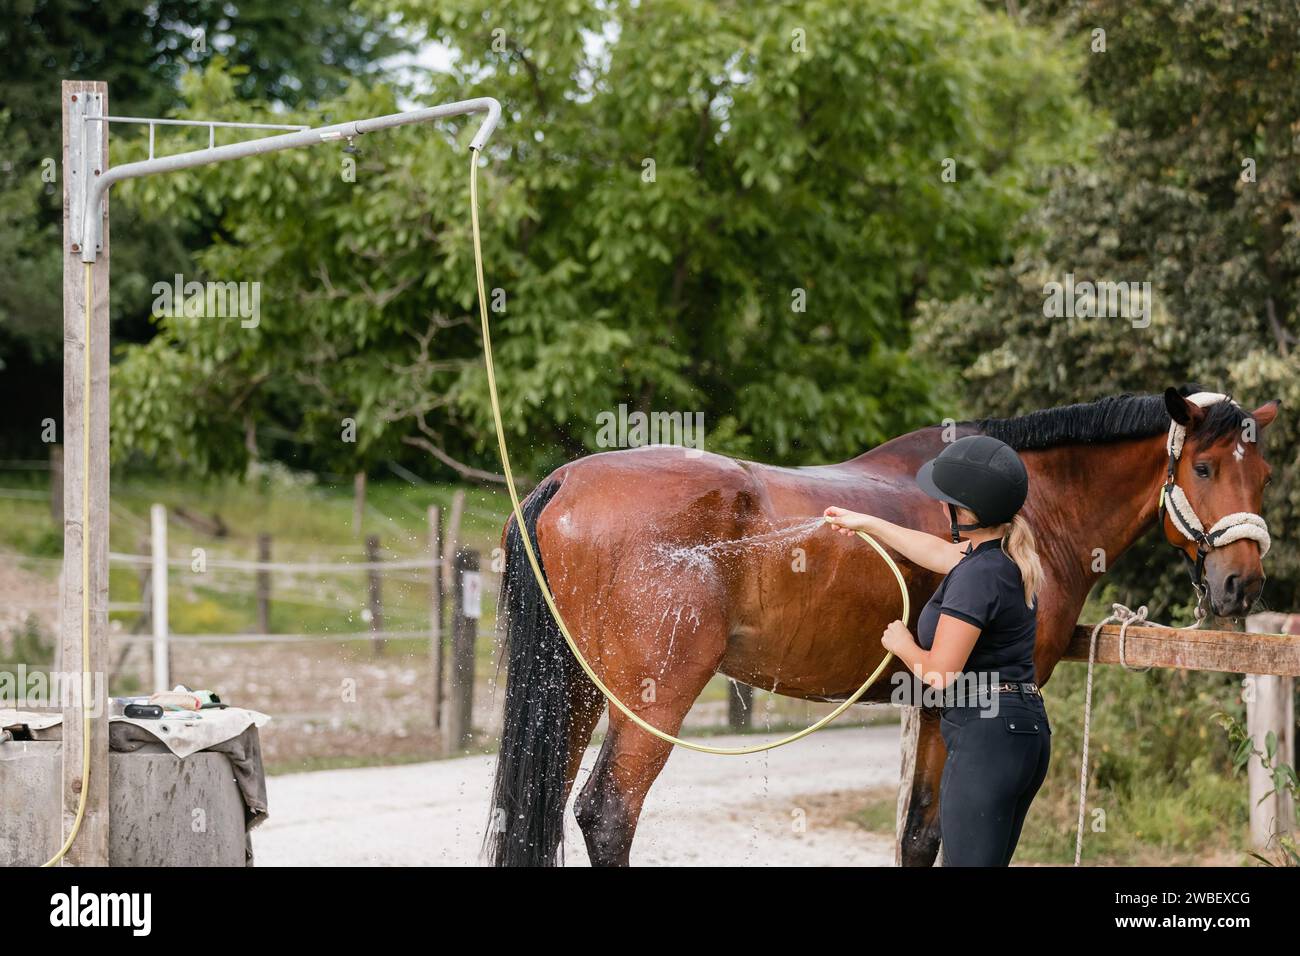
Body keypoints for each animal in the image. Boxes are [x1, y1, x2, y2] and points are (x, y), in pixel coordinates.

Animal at [485, 386, 1279, 866]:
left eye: (1263, 475)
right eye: (1204, 468)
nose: (1239, 582)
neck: (1032, 508)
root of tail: (563, 483)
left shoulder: (930, 703)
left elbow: (919, 833)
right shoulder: (967, 698)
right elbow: (938, 831)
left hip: (573, 693)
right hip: (651, 698)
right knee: (607, 813)